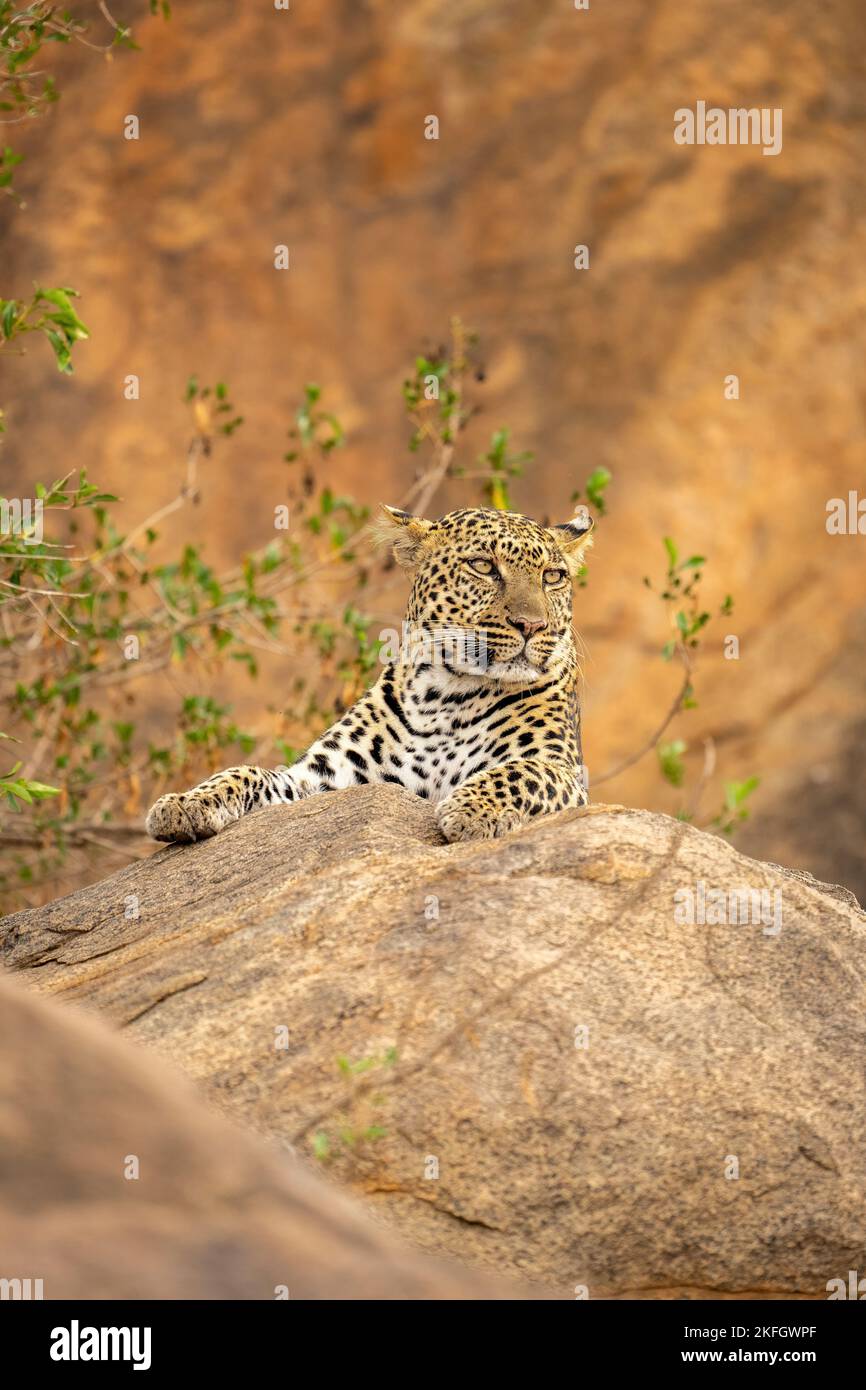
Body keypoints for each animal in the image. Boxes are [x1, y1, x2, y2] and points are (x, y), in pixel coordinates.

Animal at [145, 504, 594, 846]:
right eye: (483, 566)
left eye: (553, 577)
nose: (532, 625)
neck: (446, 696)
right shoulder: (327, 780)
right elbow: (246, 771)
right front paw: (184, 803)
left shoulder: (568, 774)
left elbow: (522, 771)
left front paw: (469, 809)